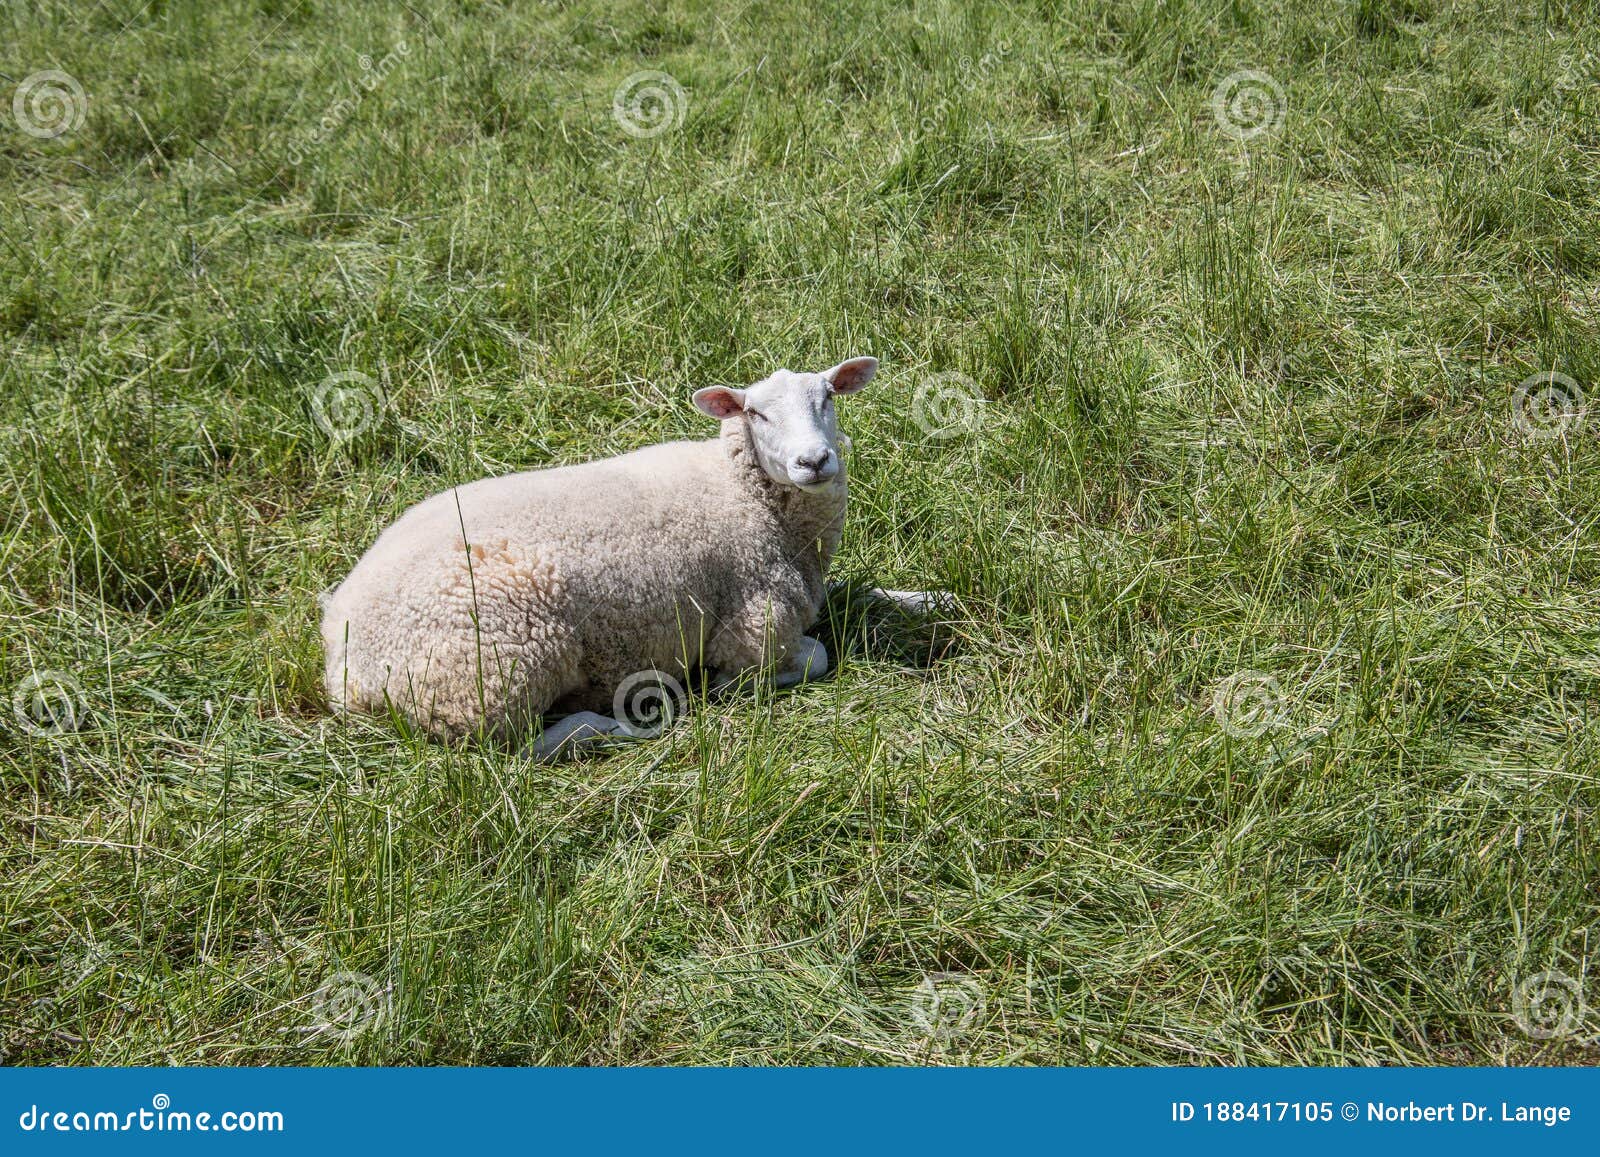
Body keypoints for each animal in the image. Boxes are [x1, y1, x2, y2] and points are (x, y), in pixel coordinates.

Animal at [320, 356, 879, 758]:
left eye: (828, 397)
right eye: (756, 413)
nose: (814, 461)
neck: (741, 490)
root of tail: (345, 665)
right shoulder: (751, 626)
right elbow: (816, 657)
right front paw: (728, 685)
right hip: (485, 673)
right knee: (516, 750)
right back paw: (619, 723)